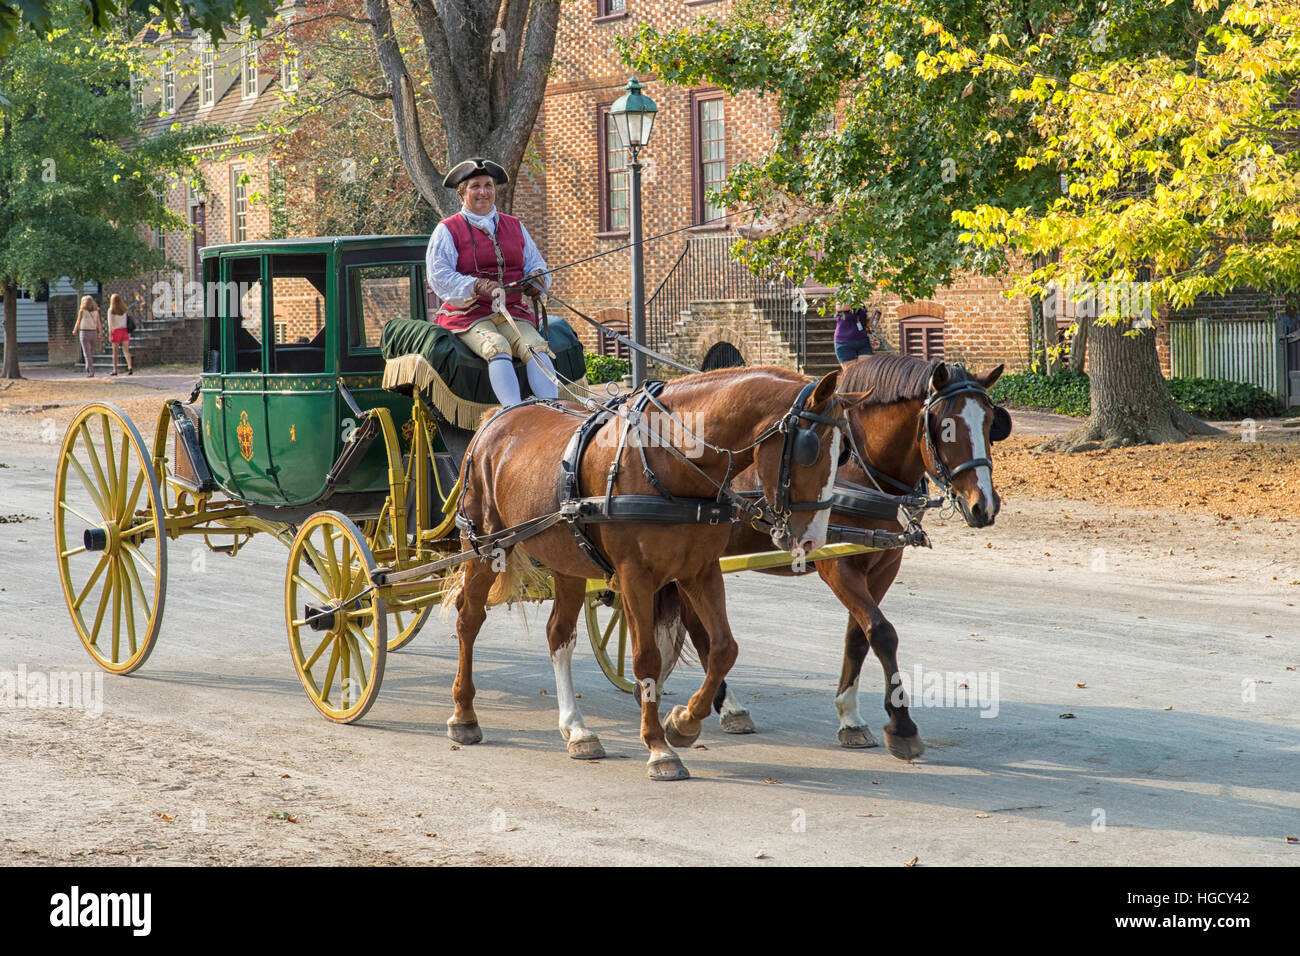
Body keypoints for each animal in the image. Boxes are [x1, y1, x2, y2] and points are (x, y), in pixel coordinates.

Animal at [445, 366, 865, 780]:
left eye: (844, 451)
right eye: (809, 449)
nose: (812, 539)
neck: (671, 459)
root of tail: (494, 418)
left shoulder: (701, 570)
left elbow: (724, 648)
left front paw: (683, 724)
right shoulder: (635, 574)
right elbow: (647, 657)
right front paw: (659, 748)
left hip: (567, 558)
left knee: (559, 634)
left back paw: (577, 729)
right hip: (485, 546)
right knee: (469, 618)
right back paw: (464, 714)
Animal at [675, 356, 1009, 760]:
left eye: (991, 423)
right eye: (946, 427)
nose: (984, 506)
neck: (859, 472)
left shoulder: (883, 564)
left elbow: (858, 636)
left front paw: (850, 716)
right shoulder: (837, 565)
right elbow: (882, 632)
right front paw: (901, 725)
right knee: (699, 627)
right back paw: (727, 705)